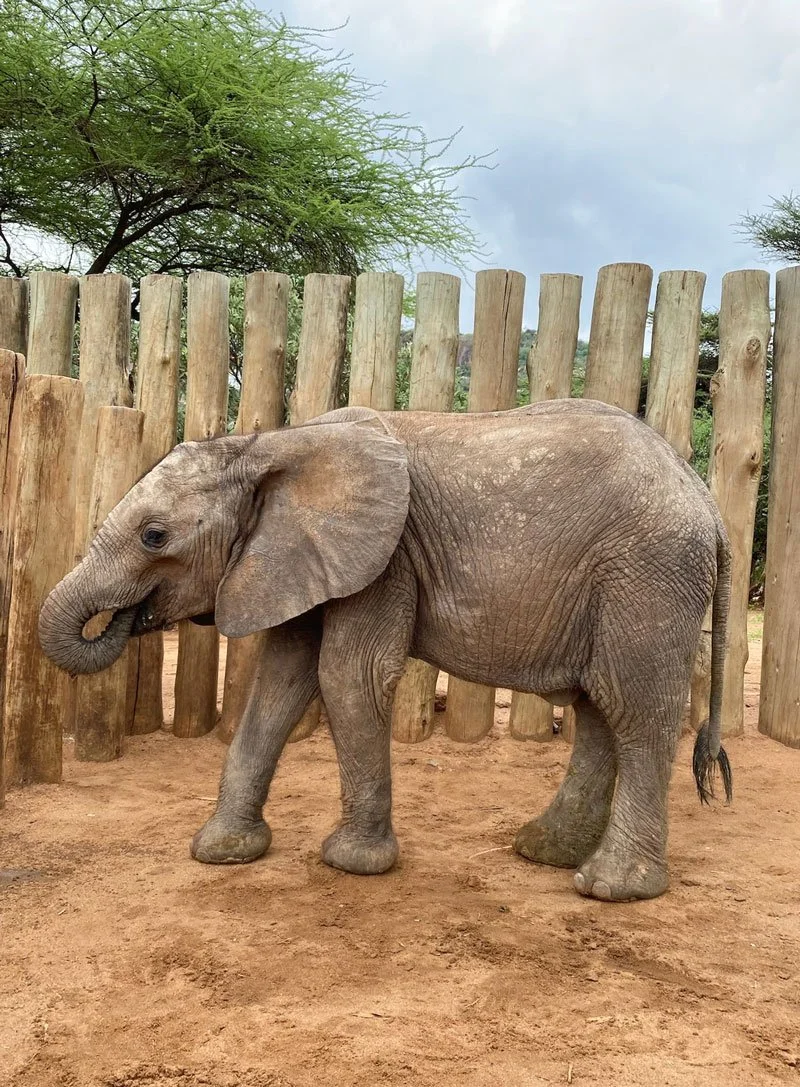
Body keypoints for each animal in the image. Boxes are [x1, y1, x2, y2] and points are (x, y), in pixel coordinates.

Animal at [39, 399, 732, 902]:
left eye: (155, 536)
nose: (123, 617)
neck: (272, 444)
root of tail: (704, 494)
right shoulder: (298, 557)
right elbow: (281, 681)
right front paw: (220, 852)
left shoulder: (384, 558)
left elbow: (347, 674)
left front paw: (351, 864)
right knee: (596, 708)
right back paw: (544, 852)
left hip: (648, 574)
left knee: (634, 708)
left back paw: (610, 887)